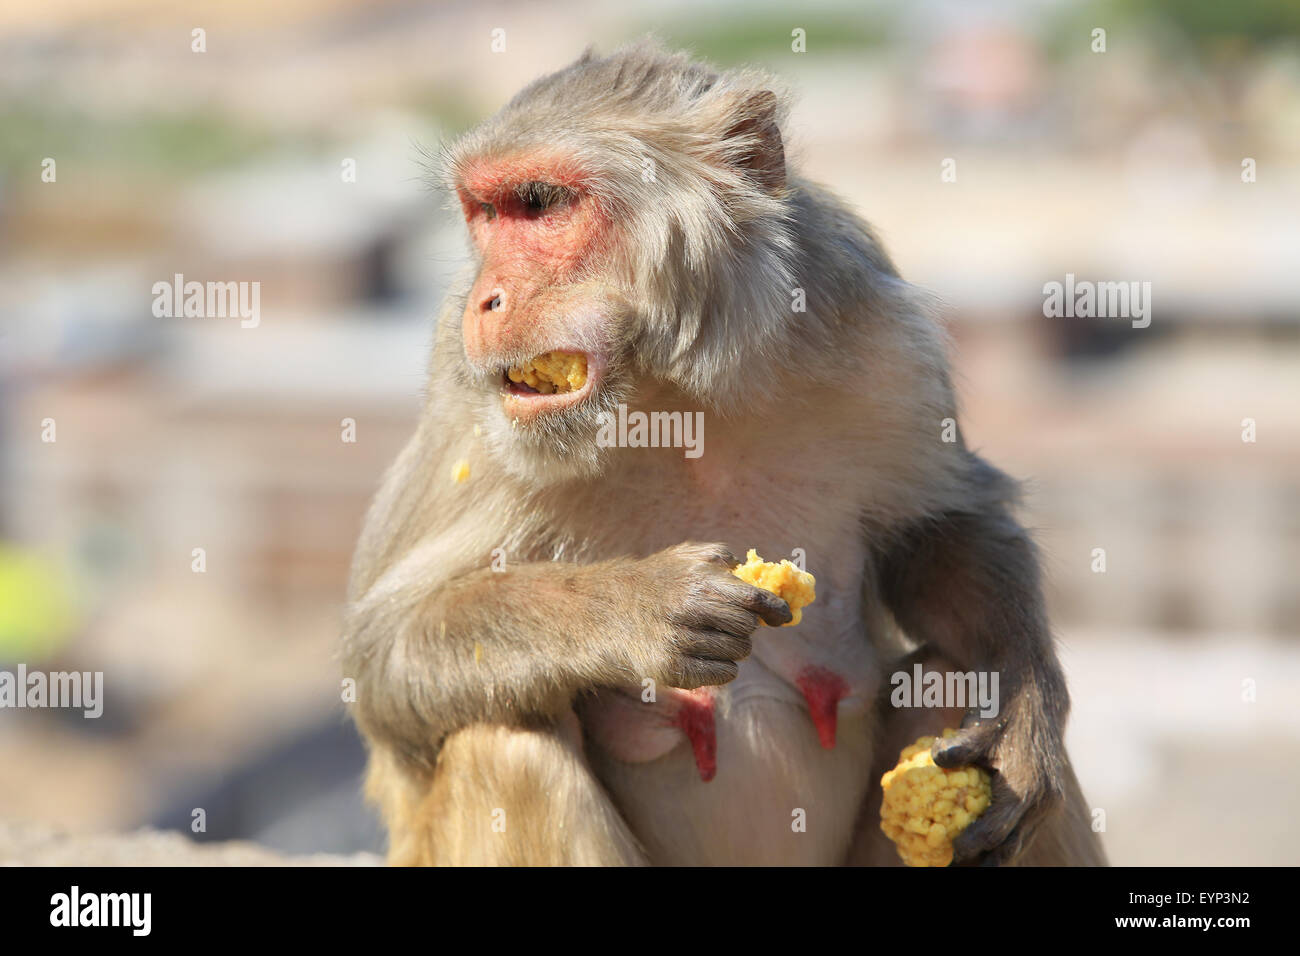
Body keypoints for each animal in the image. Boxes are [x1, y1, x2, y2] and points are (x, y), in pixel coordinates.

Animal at [342, 41, 1107, 867]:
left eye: (539, 204)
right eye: (484, 213)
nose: (486, 300)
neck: (674, 397)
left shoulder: (878, 327)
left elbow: (941, 529)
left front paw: (1025, 705)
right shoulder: (467, 404)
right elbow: (383, 654)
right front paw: (641, 609)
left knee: (946, 674)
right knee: (507, 744)